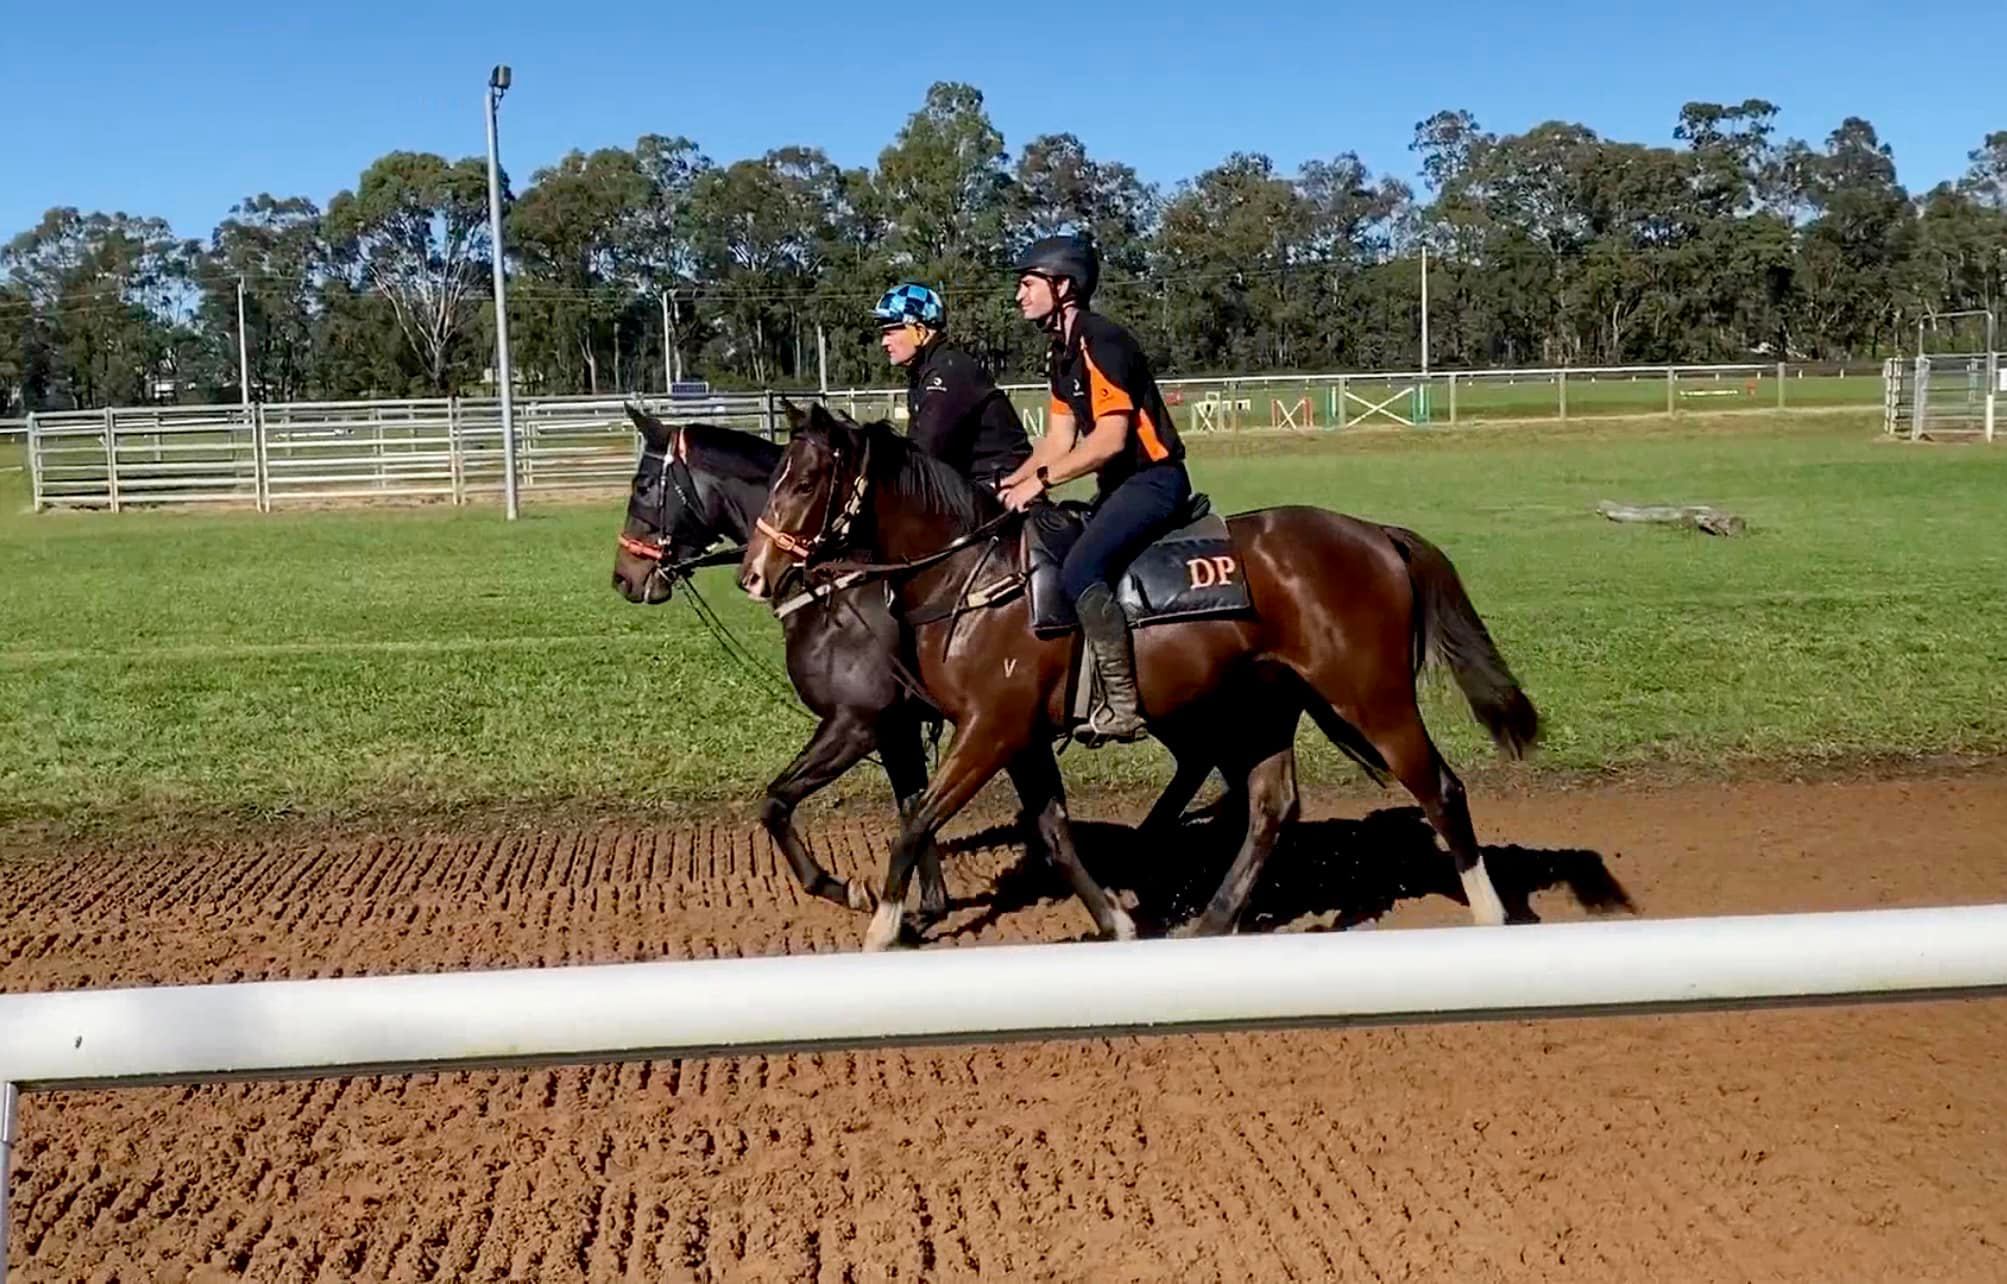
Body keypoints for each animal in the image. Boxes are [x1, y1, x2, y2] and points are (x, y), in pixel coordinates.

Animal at [608, 404, 1234, 921]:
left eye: (643, 484)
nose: (624, 578)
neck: (840, 586)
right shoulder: (901, 730)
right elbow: (913, 806)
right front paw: (925, 902)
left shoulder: (859, 723)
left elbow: (777, 803)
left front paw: (849, 890)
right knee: (1202, 760)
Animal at [738, 401, 1540, 952]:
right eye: (770, 478)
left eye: (803, 480)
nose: (755, 574)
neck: (973, 577)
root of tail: (1376, 535)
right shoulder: (1017, 737)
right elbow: (1052, 832)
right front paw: (1119, 922)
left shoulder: (984, 731)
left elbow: (913, 823)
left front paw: (880, 925)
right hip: (1264, 707)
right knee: (1271, 807)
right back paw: (1211, 920)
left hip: (1370, 696)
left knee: (1439, 789)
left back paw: (1491, 913)